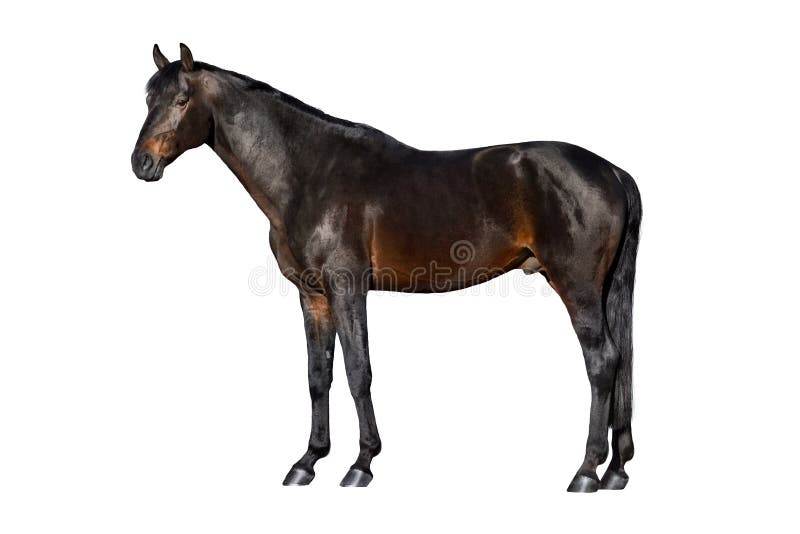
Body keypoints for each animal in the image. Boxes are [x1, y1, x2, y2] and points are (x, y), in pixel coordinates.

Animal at [131, 44, 641, 491]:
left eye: (181, 100)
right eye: (148, 98)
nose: (142, 163)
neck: (308, 174)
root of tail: (612, 172)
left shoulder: (347, 286)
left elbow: (359, 370)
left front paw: (361, 464)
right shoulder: (313, 295)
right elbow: (318, 377)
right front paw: (308, 461)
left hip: (577, 287)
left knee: (602, 362)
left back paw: (586, 471)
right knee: (620, 362)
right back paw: (615, 471)